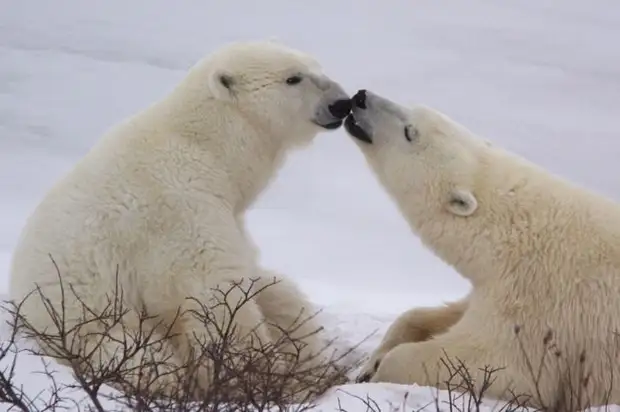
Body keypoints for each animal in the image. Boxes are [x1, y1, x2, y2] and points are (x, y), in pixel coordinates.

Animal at [8, 40, 354, 398]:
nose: (342, 103)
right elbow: (215, 293)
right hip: (91, 324)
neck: (207, 147)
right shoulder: (182, 207)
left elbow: (254, 279)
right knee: (147, 360)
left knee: (281, 292)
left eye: (317, 68)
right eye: (293, 78)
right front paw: (258, 376)